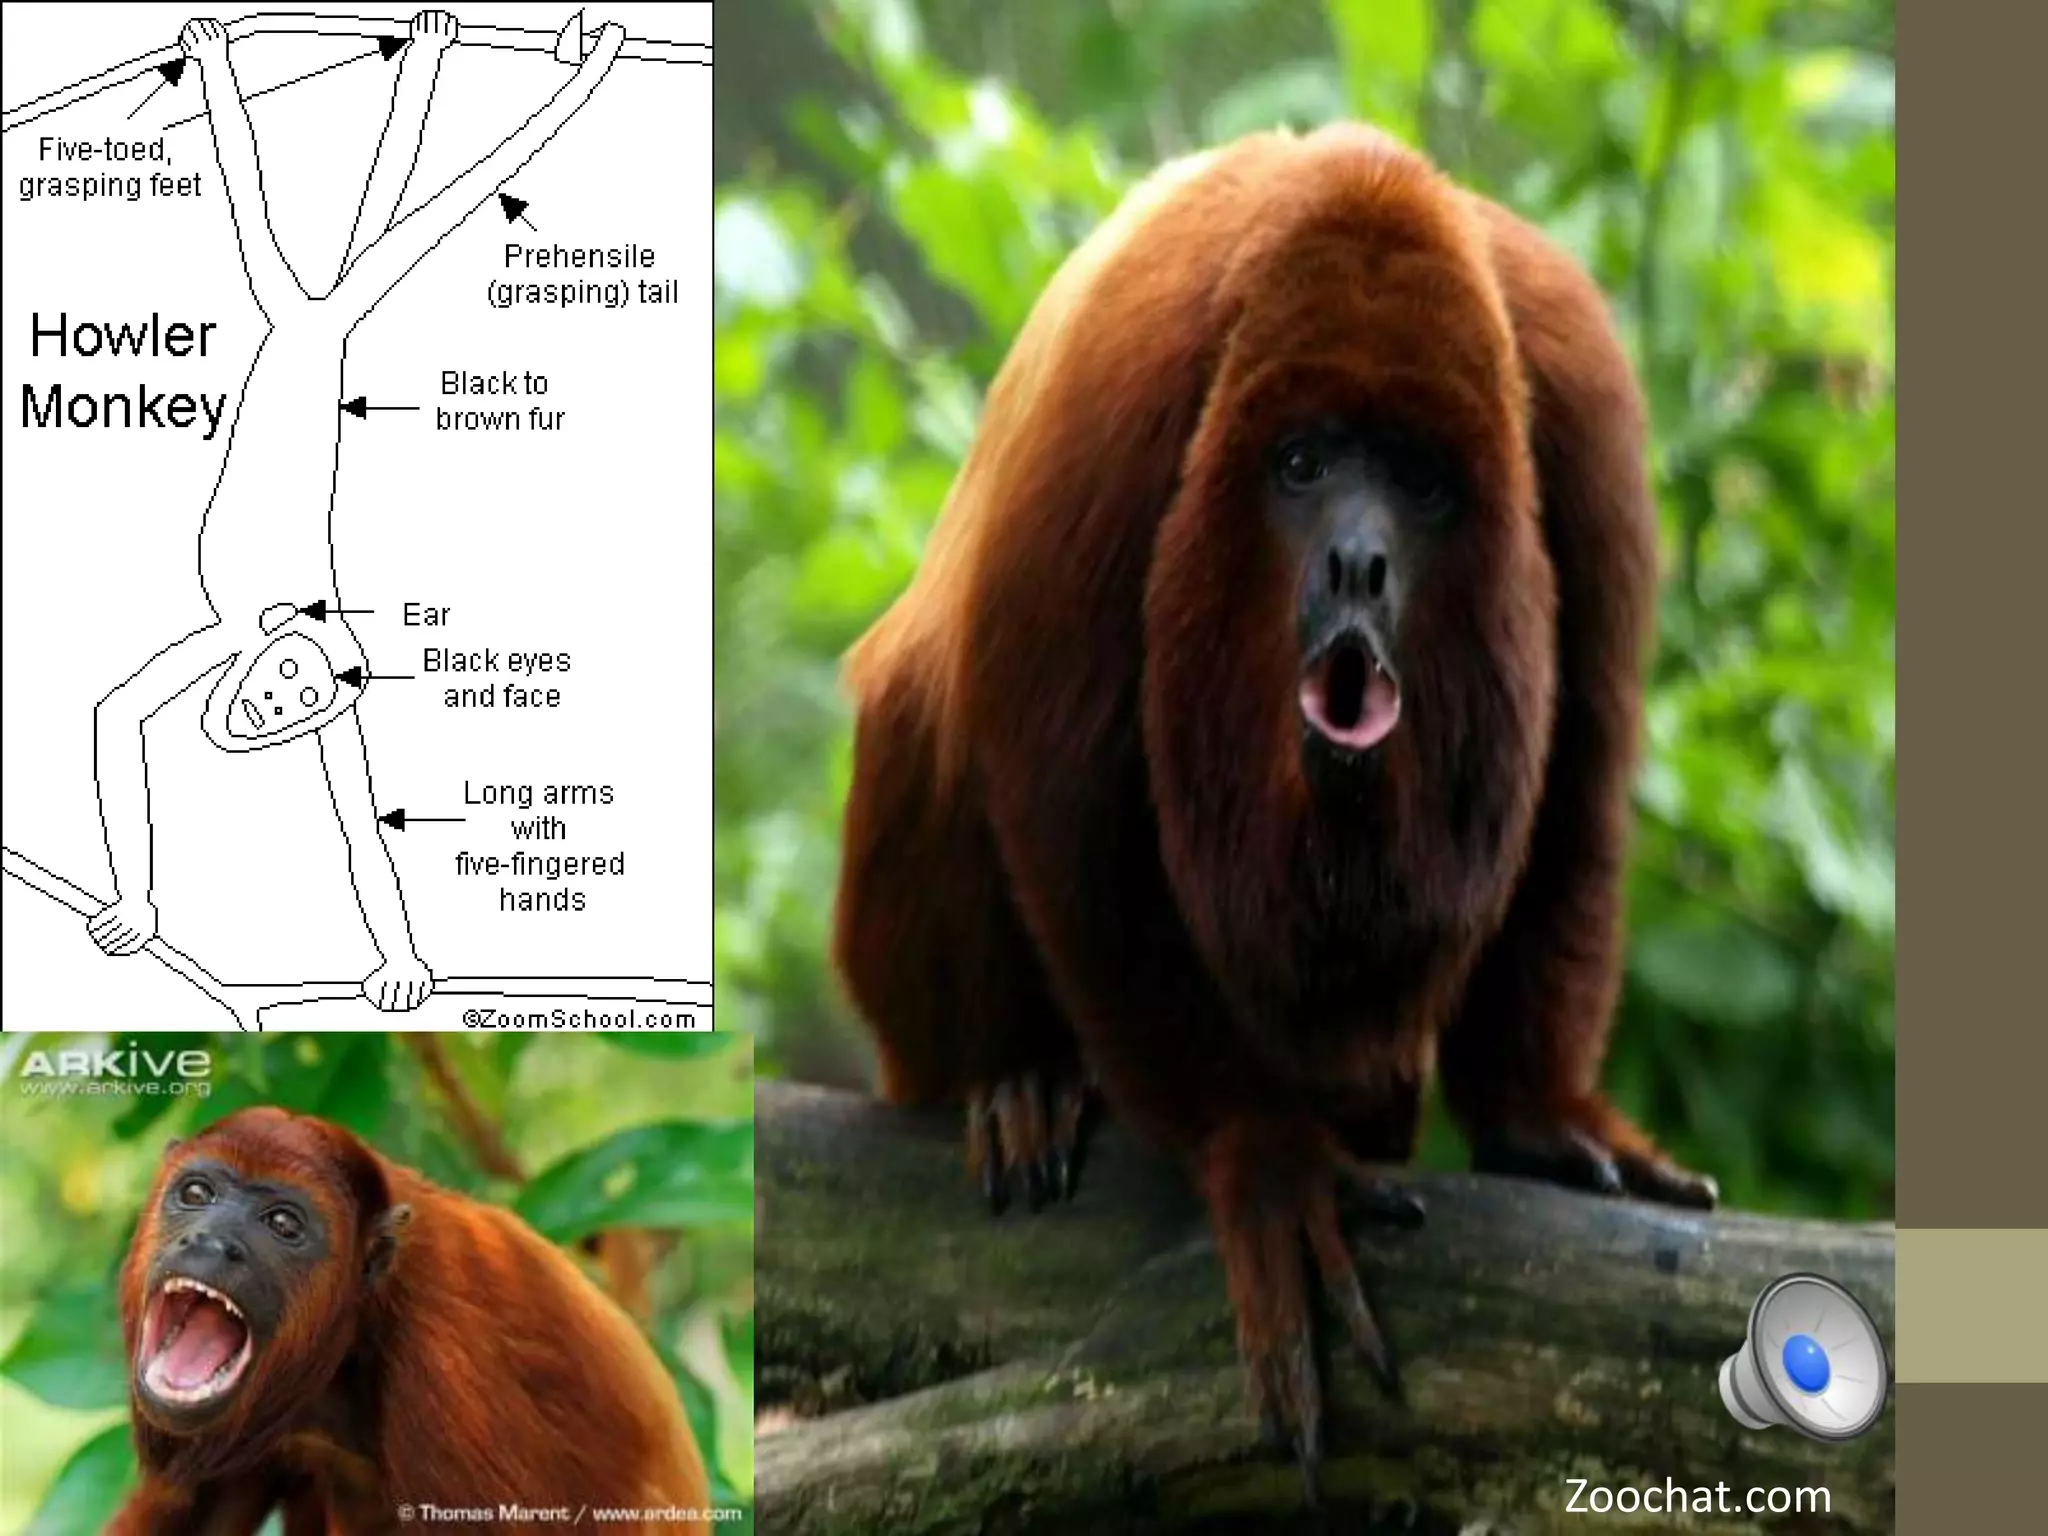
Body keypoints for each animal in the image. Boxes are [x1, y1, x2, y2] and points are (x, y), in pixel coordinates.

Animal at [86, 13, 623, 1012]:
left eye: (304, 693)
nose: (277, 702)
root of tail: (323, 325)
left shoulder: (330, 718)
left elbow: (364, 835)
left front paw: (403, 966)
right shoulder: (234, 641)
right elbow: (118, 713)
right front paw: (137, 910)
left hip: (317, 313)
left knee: (373, 226)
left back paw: (435, 49)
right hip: (290, 306)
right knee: (313, 234)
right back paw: (226, 62)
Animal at [830, 121, 1718, 1483]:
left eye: (1415, 481)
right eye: (1300, 466)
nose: (1355, 560)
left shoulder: (1575, 394)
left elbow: (1577, 769)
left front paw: (1539, 1115)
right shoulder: (1119, 391)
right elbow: (1063, 787)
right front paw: (1257, 1157)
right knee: (931, 705)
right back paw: (1019, 1076)